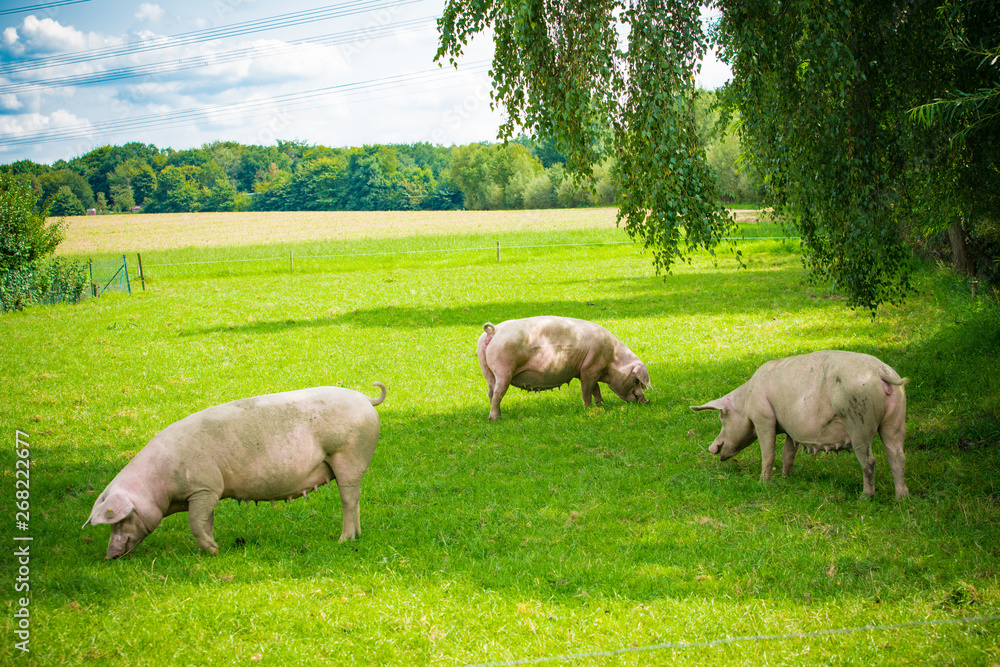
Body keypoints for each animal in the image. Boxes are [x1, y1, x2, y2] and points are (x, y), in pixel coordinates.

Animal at [83, 383, 386, 559]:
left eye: (120, 520)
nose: (109, 556)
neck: (161, 484)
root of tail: (366, 399)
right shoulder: (206, 493)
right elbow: (206, 521)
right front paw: (212, 548)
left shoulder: (205, 487)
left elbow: (195, 522)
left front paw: (214, 551)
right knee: (356, 498)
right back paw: (356, 535)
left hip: (347, 455)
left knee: (348, 498)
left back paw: (343, 540)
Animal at [476, 316, 651, 421]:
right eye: (636, 381)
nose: (646, 401)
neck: (613, 359)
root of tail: (494, 331)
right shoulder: (589, 369)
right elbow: (587, 390)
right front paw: (588, 408)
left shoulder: (589, 371)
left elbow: (596, 389)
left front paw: (601, 404)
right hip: (503, 370)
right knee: (498, 393)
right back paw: (495, 419)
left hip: (487, 372)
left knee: (491, 392)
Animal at [691, 351, 908, 498]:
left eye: (722, 417)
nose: (711, 448)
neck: (746, 399)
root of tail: (880, 372)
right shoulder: (791, 429)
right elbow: (788, 454)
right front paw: (785, 478)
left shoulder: (763, 418)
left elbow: (769, 453)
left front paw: (763, 483)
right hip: (896, 417)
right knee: (897, 455)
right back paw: (901, 498)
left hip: (858, 418)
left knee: (870, 460)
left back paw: (865, 497)